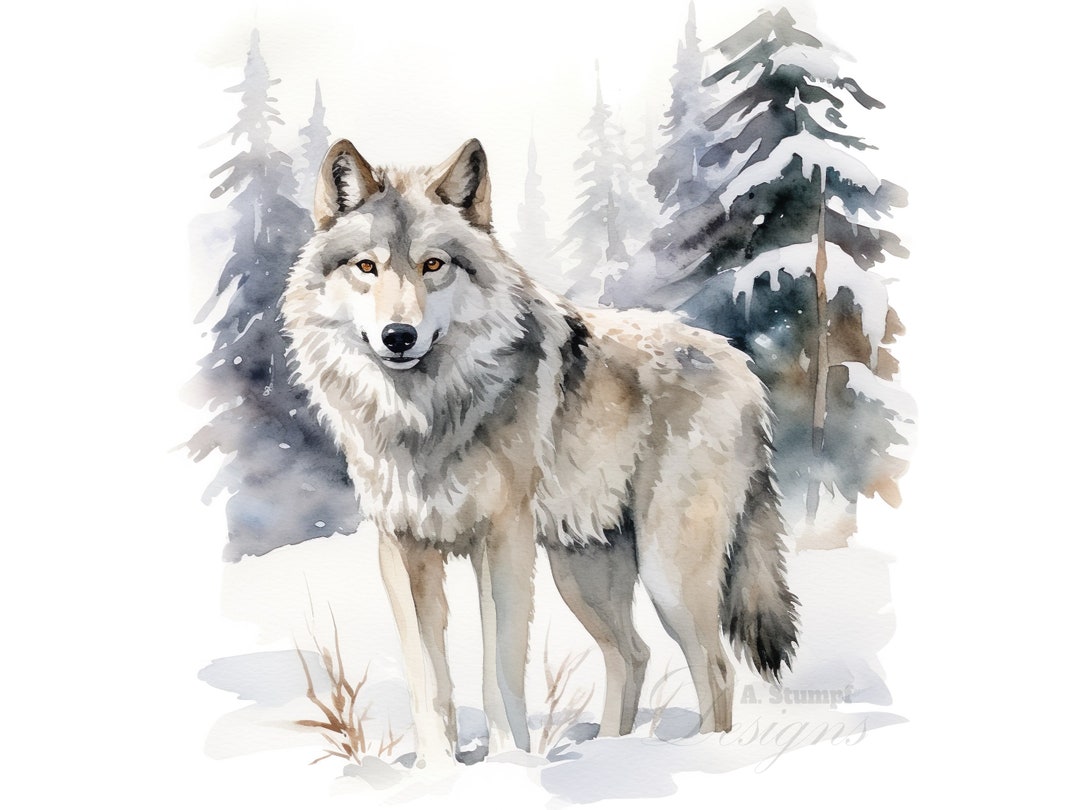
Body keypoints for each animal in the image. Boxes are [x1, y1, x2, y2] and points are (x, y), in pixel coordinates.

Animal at [282, 138, 799, 767]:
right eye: (366, 267)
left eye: (434, 265)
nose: (399, 336)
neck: (426, 416)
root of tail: (741, 367)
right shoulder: (402, 549)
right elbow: (429, 683)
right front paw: (436, 772)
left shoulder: (503, 541)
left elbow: (499, 674)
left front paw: (510, 764)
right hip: (580, 570)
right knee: (633, 655)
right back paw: (609, 756)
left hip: (666, 574)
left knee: (715, 669)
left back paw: (700, 757)